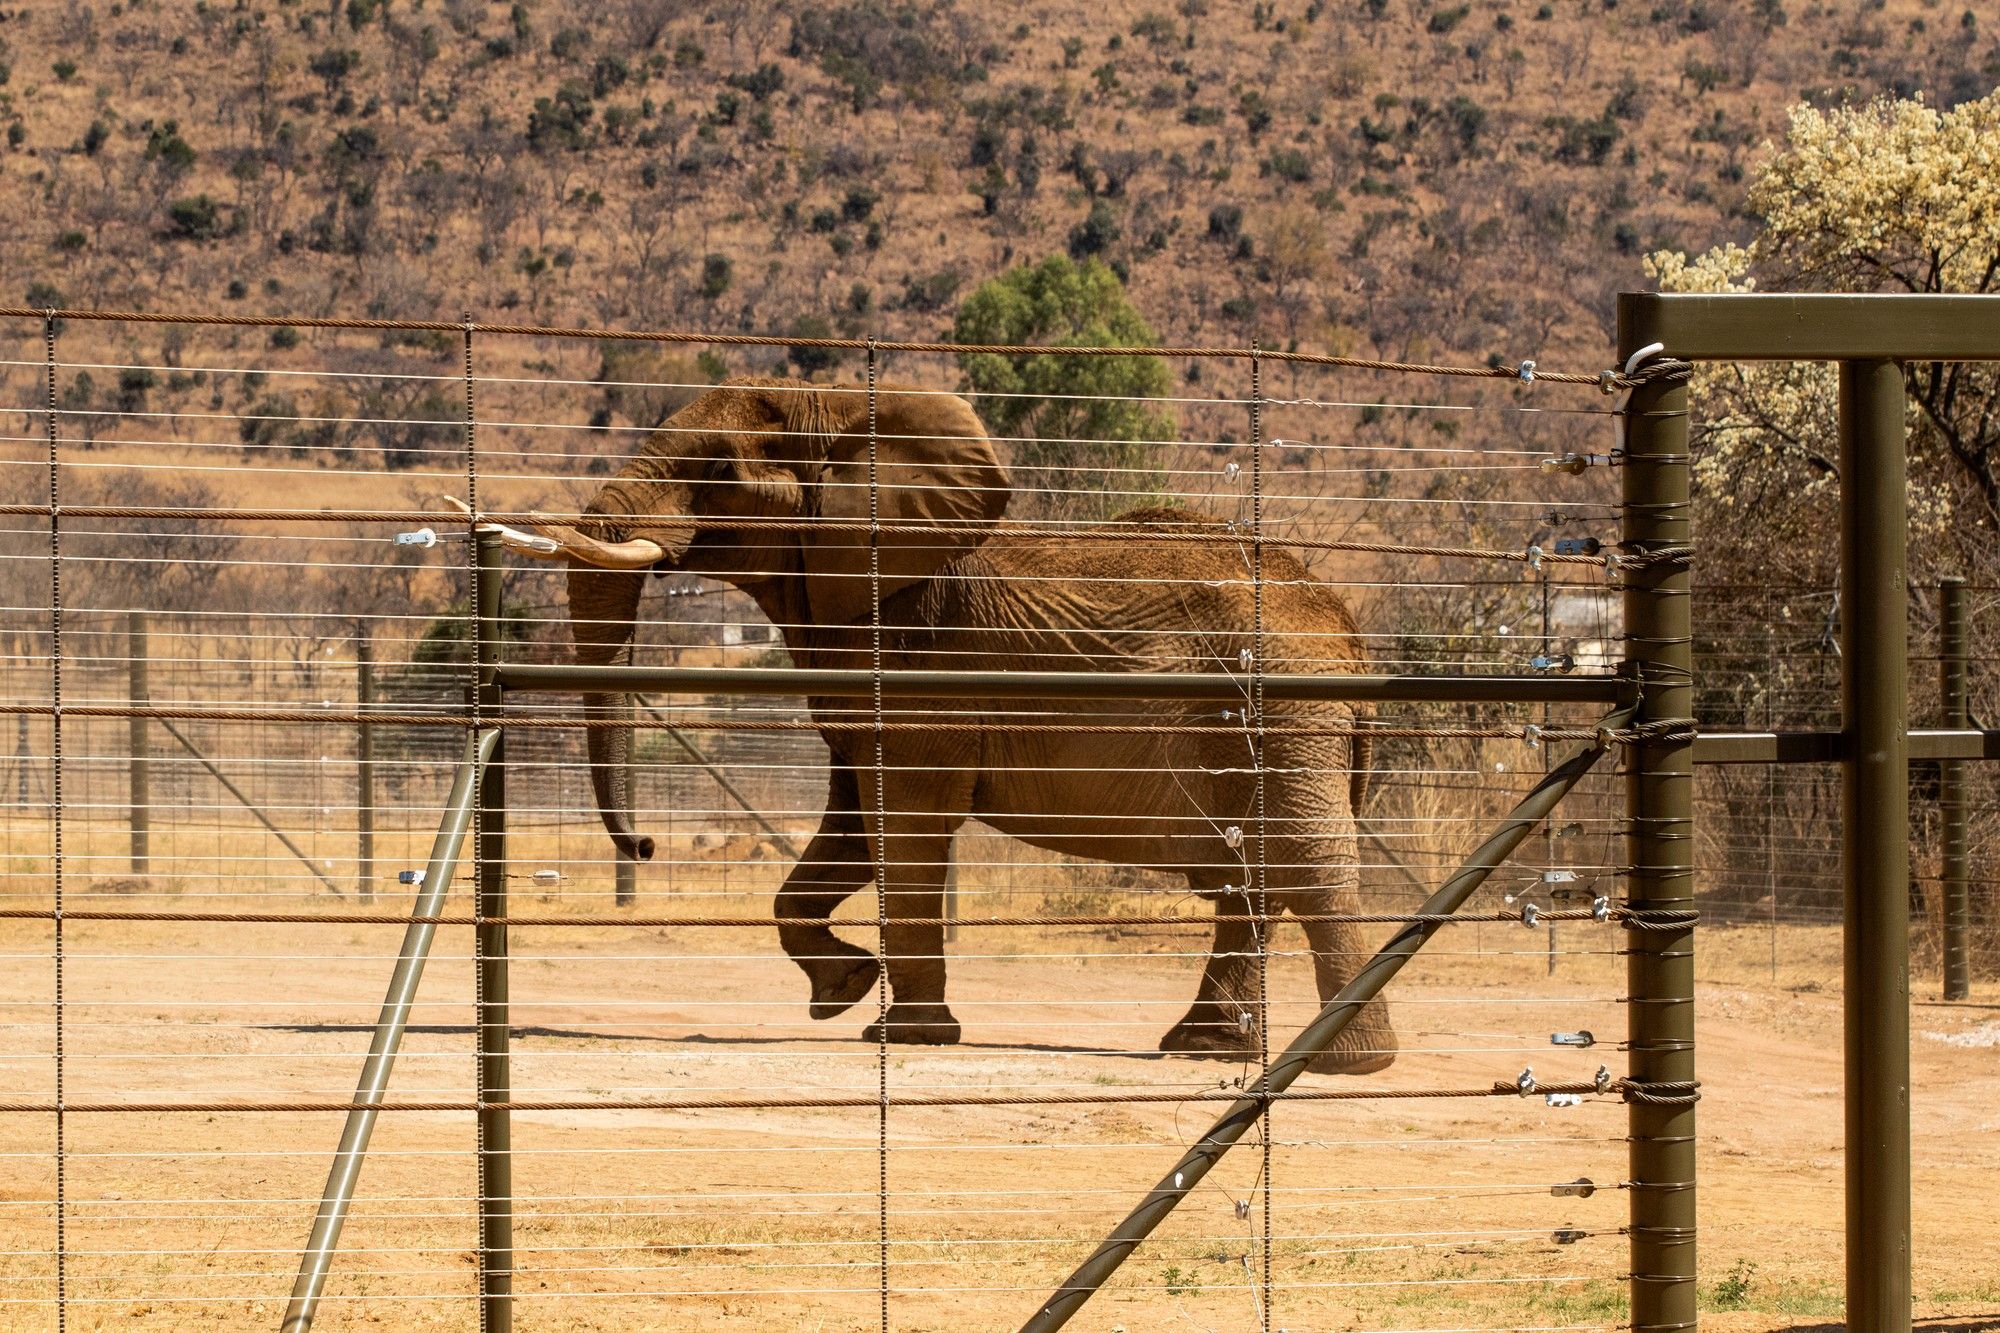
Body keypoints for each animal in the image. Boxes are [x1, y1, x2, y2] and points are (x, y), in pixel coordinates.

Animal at [513, 377, 1397, 1074]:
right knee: (1251, 883)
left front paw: (900, 1033)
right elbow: (850, 830)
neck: (845, 410)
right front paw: (841, 991)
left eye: (718, 470)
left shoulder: (917, 659)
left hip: (1286, 716)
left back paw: (1345, 1062)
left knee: (1306, 869)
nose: (647, 846)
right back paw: (1205, 1048)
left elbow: (901, 830)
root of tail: (1348, 631)